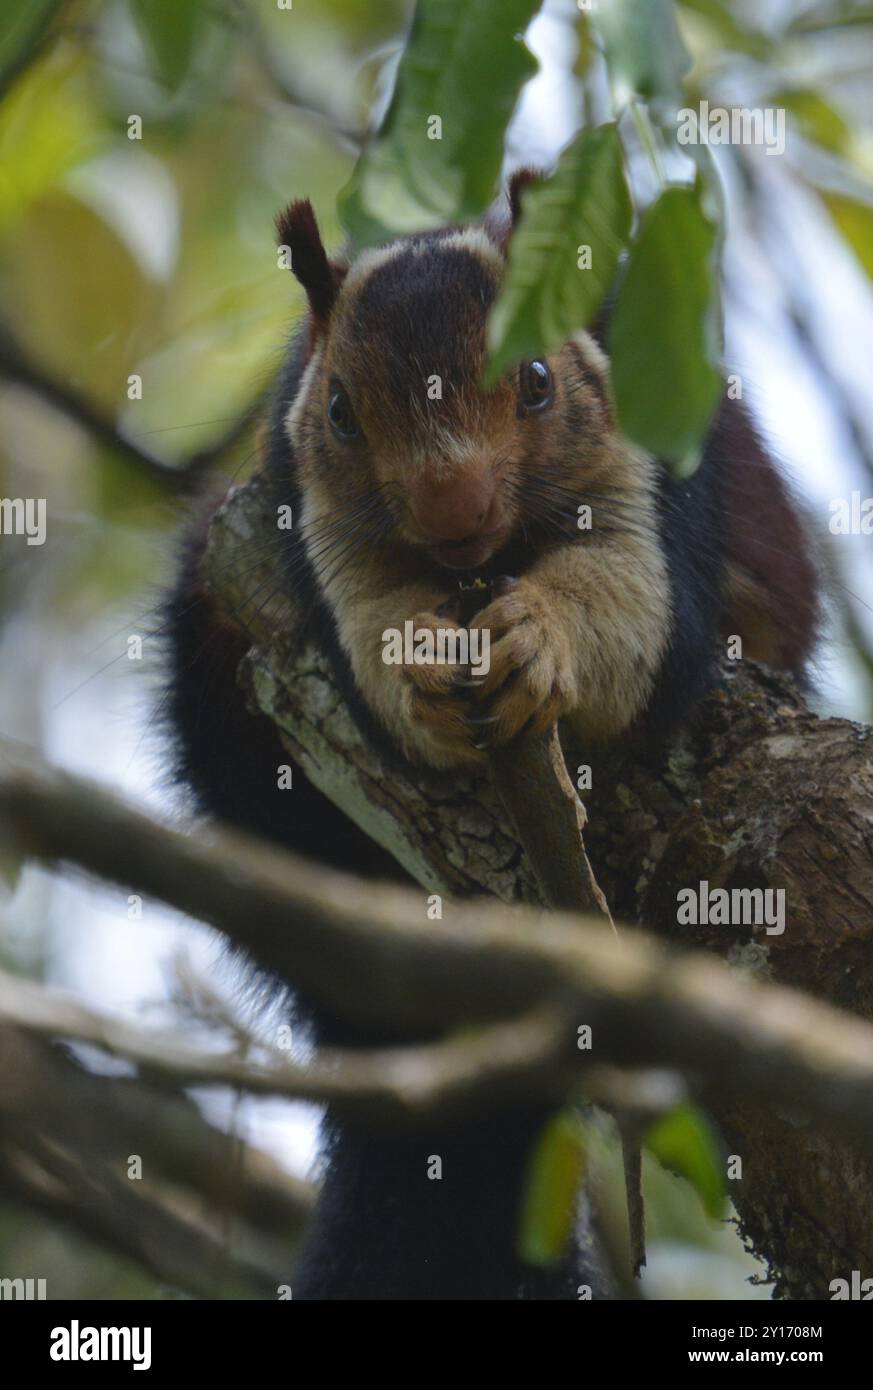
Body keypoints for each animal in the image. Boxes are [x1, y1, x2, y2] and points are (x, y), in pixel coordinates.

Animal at [163, 172, 821, 1299]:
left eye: (541, 380)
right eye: (340, 411)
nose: (453, 504)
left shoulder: (652, 467)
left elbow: (632, 605)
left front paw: (539, 638)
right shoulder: (307, 516)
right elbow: (366, 623)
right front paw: (421, 668)